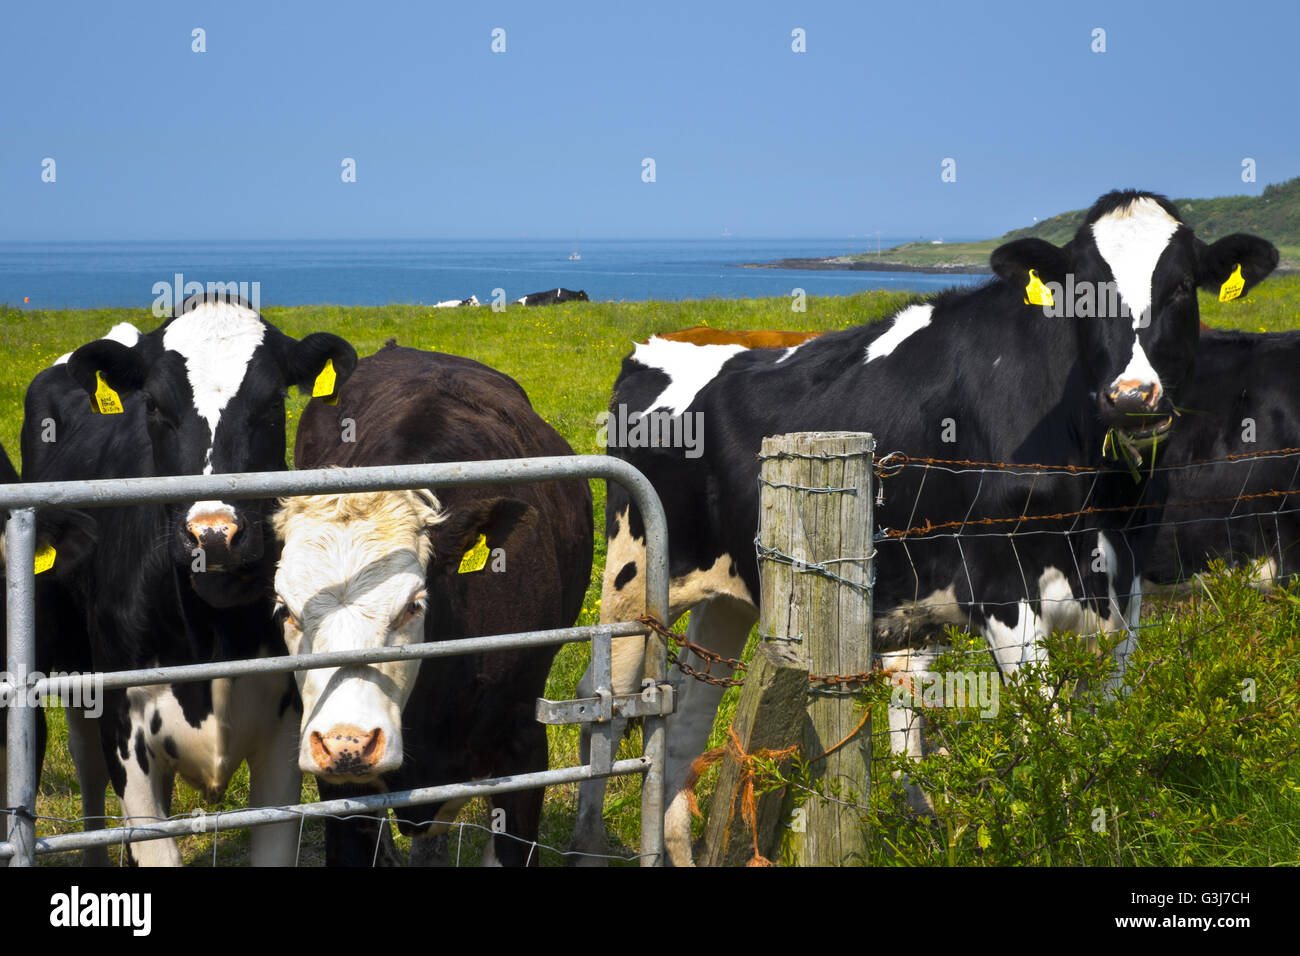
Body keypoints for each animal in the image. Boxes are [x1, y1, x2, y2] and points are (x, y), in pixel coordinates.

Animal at [19, 293, 357, 866]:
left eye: (273, 404)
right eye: (154, 406)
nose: (214, 534)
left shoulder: (283, 734)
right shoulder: (126, 736)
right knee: (86, 762)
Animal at [569, 190, 1279, 865]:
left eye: (1181, 285)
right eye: (1079, 290)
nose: (1133, 397)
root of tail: (657, 345)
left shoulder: (1122, 593)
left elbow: (1099, 739)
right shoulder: (1002, 586)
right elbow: (1048, 737)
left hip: (730, 591)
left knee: (688, 712)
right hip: (634, 577)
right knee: (608, 702)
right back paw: (586, 846)